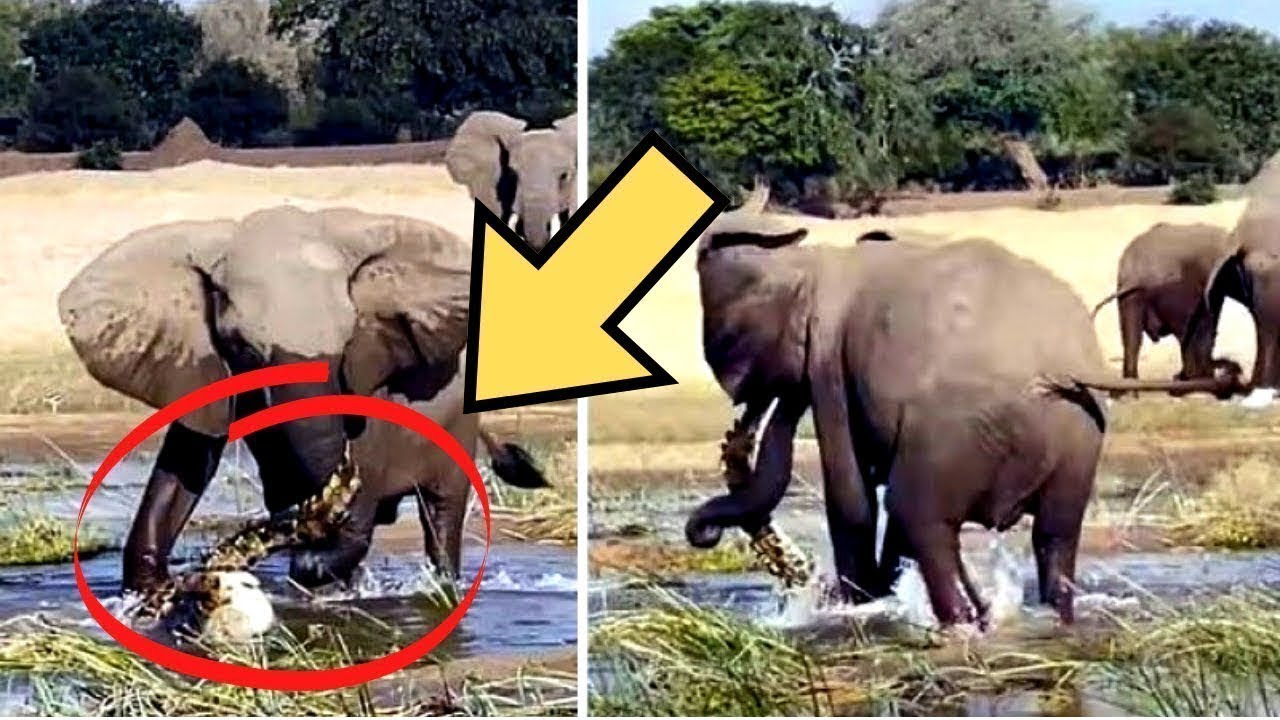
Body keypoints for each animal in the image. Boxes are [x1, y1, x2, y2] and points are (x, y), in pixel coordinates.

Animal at [58, 205, 548, 595]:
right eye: (242, 349)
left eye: (349, 341)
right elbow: (189, 459)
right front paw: (148, 592)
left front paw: (310, 569)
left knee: (441, 515)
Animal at [1090, 222, 1244, 391]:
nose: (1235, 369)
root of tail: (1140, 275)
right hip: (1174, 291)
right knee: (1186, 333)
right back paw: (1196, 381)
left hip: (1129, 293)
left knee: (1132, 339)